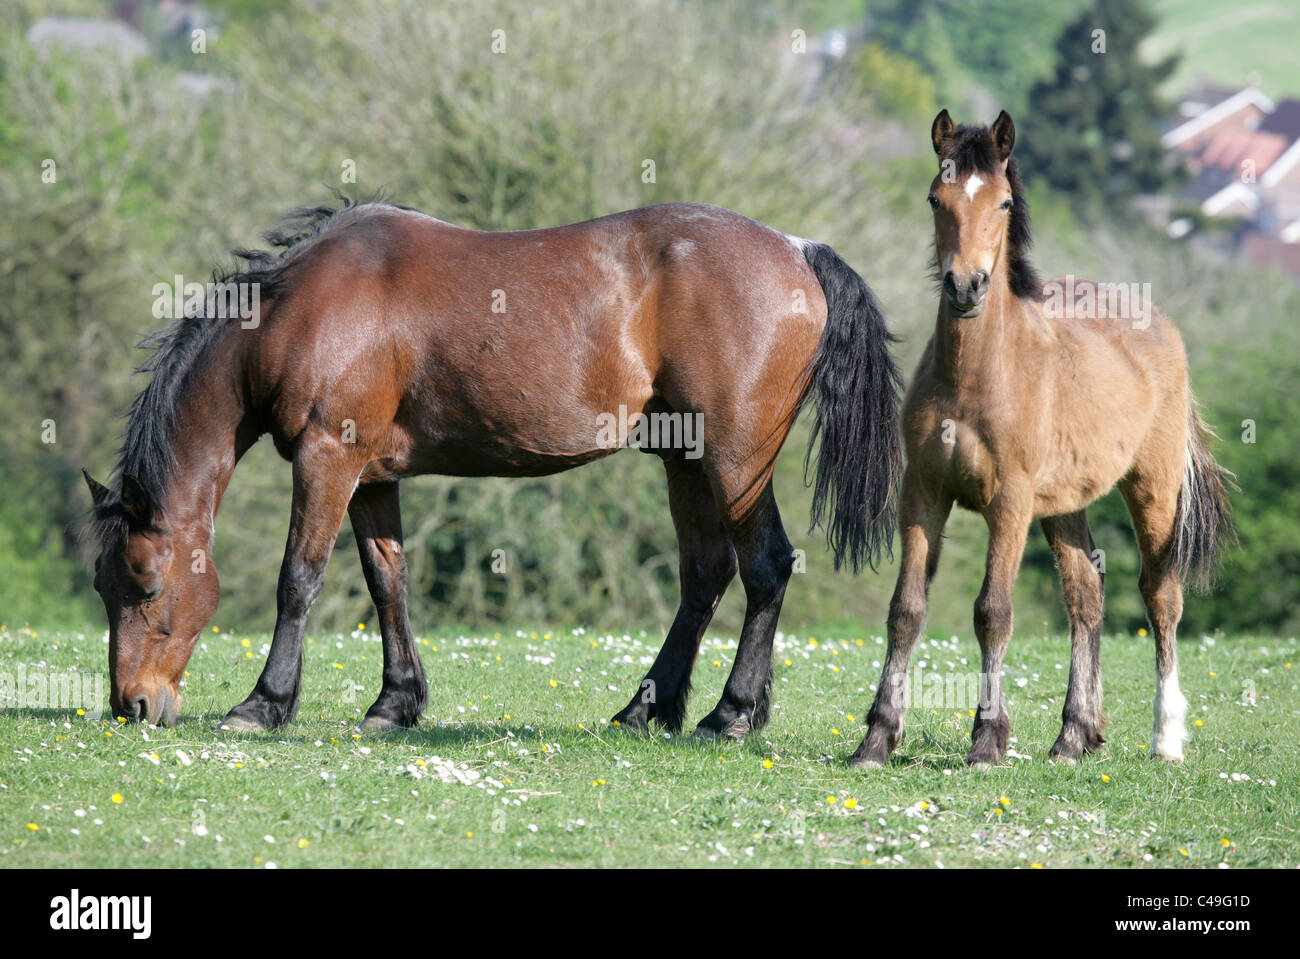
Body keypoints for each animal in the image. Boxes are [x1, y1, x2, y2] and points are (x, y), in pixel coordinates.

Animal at [84, 198, 903, 737]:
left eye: (146, 584)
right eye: (102, 584)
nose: (131, 704)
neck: (303, 308)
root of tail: (798, 250)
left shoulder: (328, 458)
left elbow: (299, 579)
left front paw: (264, 703)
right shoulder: (372, 475)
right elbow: (387, 580)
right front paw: (395, 702)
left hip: (735, 458)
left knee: (766, 566)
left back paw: (728, 714)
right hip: (685, 456)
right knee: (706, 574)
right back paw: (648, 707)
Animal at [849, 110, 1235, 769]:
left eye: (1004, 202)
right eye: (935, 198)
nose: (965, 286)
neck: (977, 377)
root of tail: (1159, 322)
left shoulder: (1010, 501)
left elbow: (992, 612)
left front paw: (987, 740)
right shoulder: (922, 494)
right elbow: (906, 610)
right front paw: (876, 738)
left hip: (1153, 488)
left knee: (1161, 595)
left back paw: (1166, 738)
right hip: (1064, 503)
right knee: (1087, 593)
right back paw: (1075, 734)